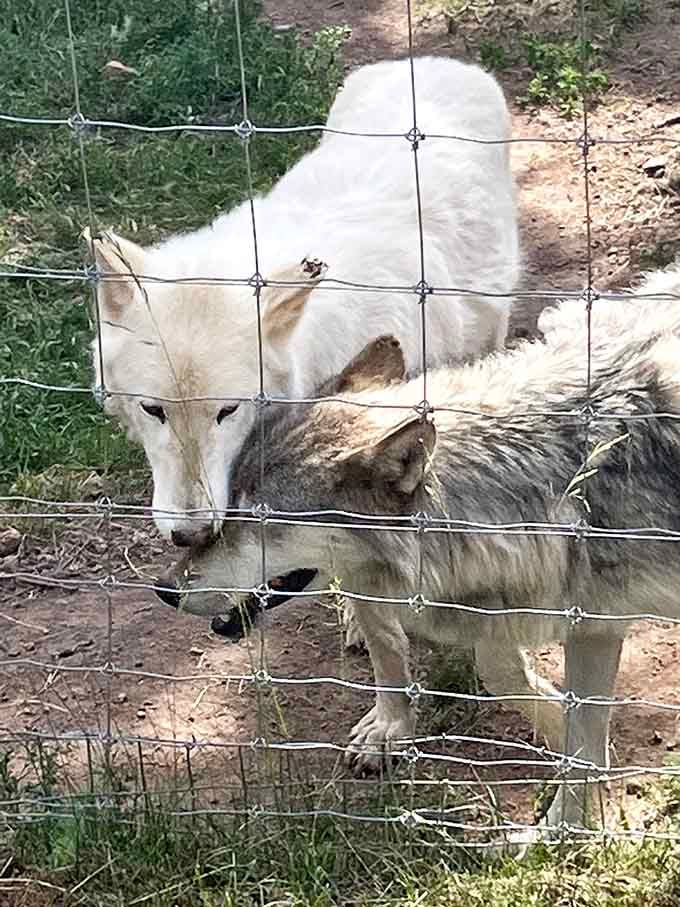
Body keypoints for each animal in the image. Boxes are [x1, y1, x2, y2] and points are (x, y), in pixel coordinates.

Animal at [155, 262, 680, 837]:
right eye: (230, 503)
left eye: (262, 517)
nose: (164, 589)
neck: (564, 483)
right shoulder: (587, 618)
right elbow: (531, 694)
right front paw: (568, 817)